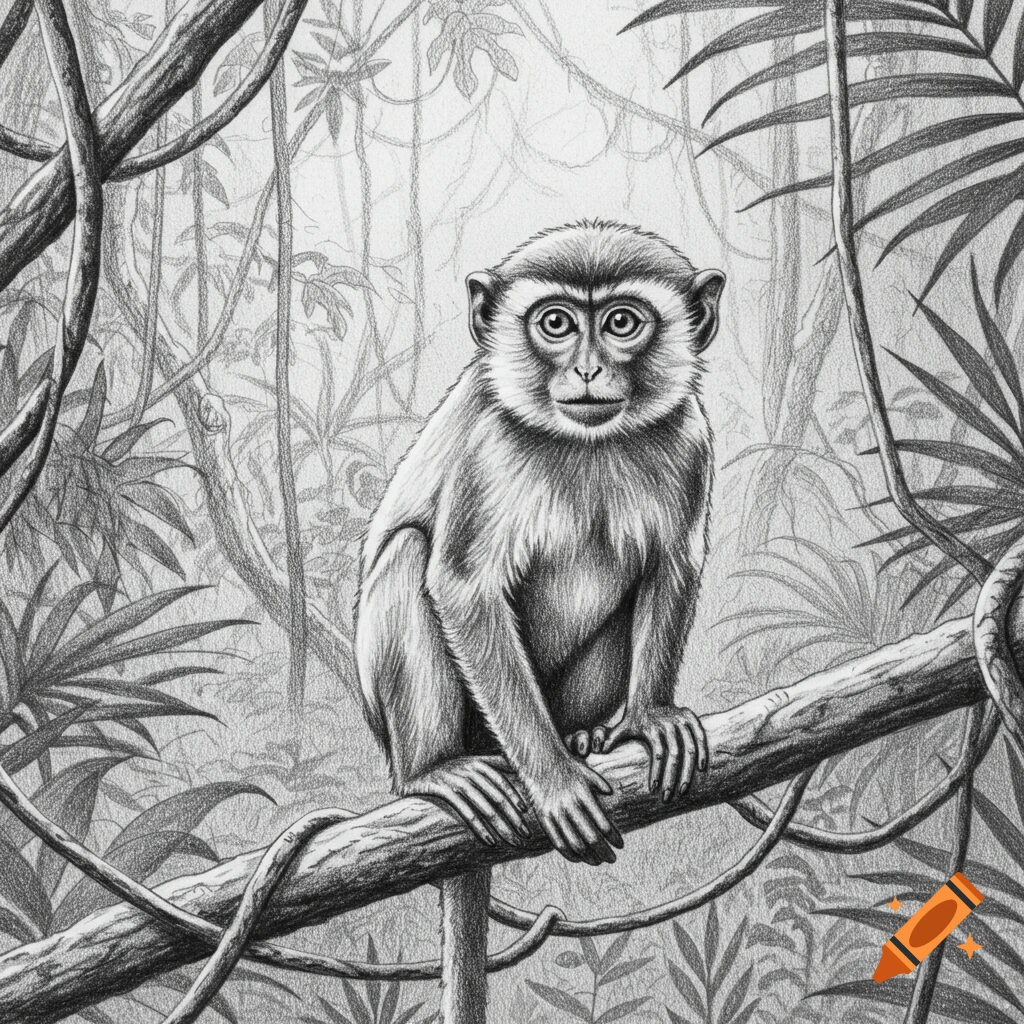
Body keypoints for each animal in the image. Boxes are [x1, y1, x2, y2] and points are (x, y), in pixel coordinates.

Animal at [354, 219, 724, 1023]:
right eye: (555, 323)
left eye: (621, 323)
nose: (586, 369)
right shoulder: (489, 446)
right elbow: (462, 590)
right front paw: (553, 780)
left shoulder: (689, 439)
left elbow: (671, 567)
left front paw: (650, 716)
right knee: (408, 555)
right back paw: (437, 770)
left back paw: (586, 732)